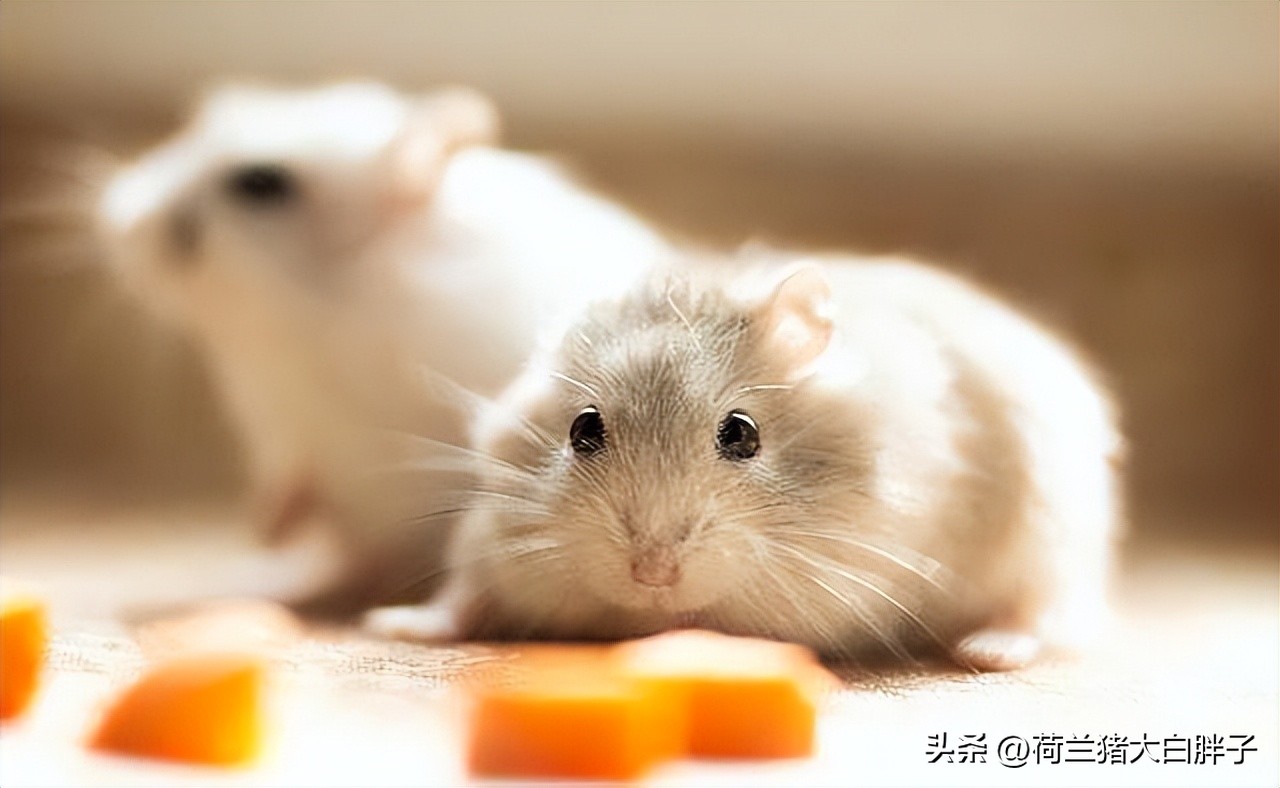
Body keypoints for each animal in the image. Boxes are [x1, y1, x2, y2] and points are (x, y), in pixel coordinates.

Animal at [96, 82, 668, 608]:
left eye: (260, 183)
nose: (121, 222)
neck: (309, 328)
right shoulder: (290, 436)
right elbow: (292, 481)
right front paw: (267, 531)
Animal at [369, 254, 1123, 670]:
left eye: (741, 434)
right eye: (583, 430)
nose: (653, 574)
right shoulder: (490, 536)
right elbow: (462, 594)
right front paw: (395, 623)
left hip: (1049, 538)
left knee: (1040, 614)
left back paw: (984, 654)